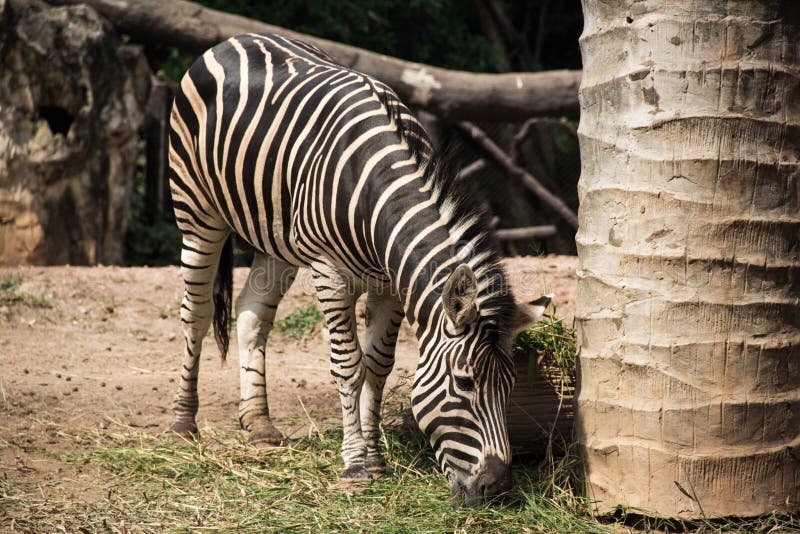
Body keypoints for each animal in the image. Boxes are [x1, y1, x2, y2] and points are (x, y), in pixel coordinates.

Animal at [167, 33, 544, 505]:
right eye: (465, 383)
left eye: (509, 386)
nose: (496, 487)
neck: (377, 196)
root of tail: (237, 38)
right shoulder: (329, 274)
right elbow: (348, 365)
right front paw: (355, 464)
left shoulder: (391, 286)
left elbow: (377, 365)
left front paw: (375, 456)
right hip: (197, 211)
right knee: (196, 315)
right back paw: (183, 423)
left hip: (277, 239)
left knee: (252, 312)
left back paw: (259, 425)